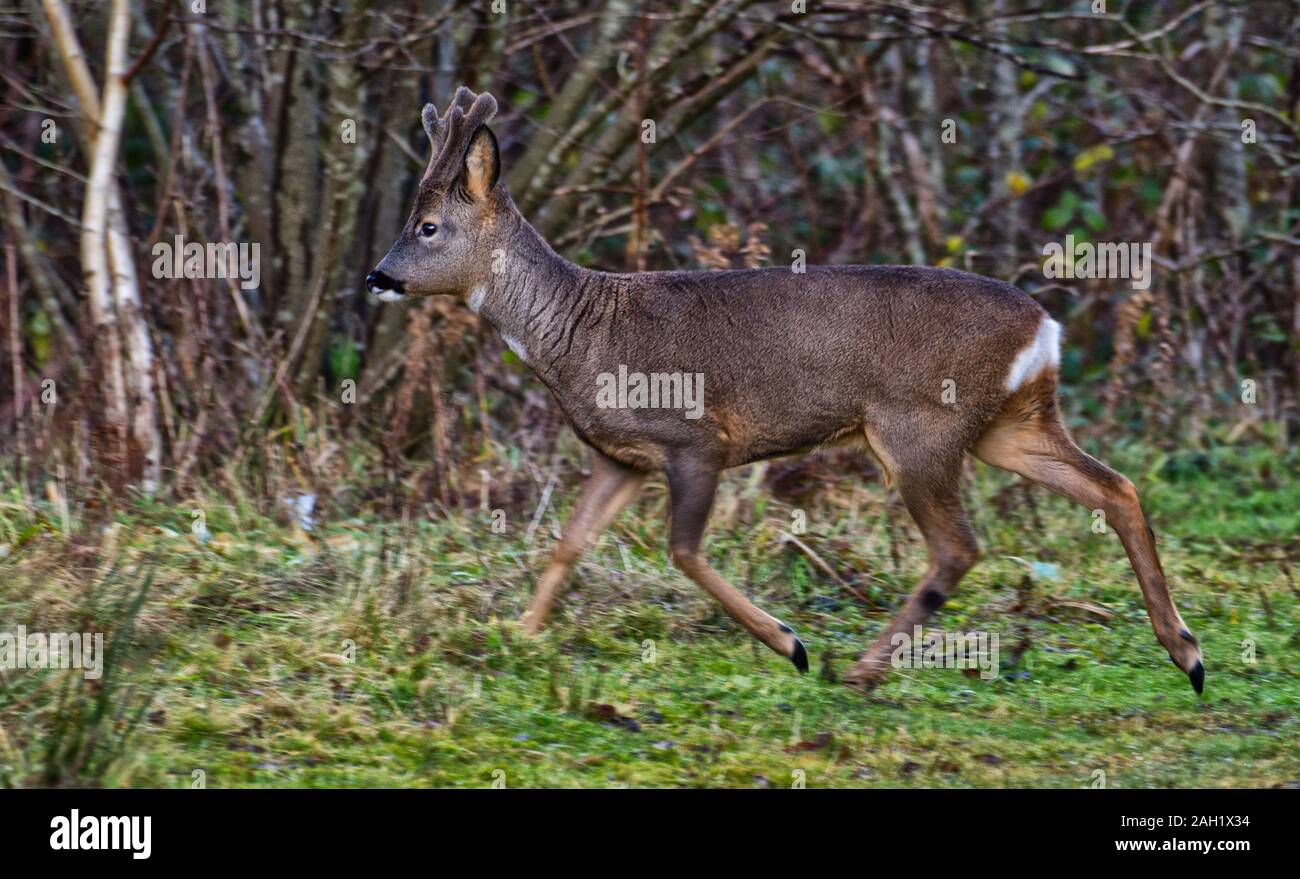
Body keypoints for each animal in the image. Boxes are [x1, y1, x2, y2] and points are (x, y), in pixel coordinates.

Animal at [366, 87, 1204, 695]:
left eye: (430, 226)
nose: (377, 275)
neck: (582, 328)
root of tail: (1045, 327)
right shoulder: (621, 455)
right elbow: (568, 542)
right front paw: (519, 634)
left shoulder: (696, 437)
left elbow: (683, 550)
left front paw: (790, 642)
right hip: (1009, 424)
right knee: (1116, 488)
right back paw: (1187, 654)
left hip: (918, 426)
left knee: (960, 545)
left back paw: (859, 669)